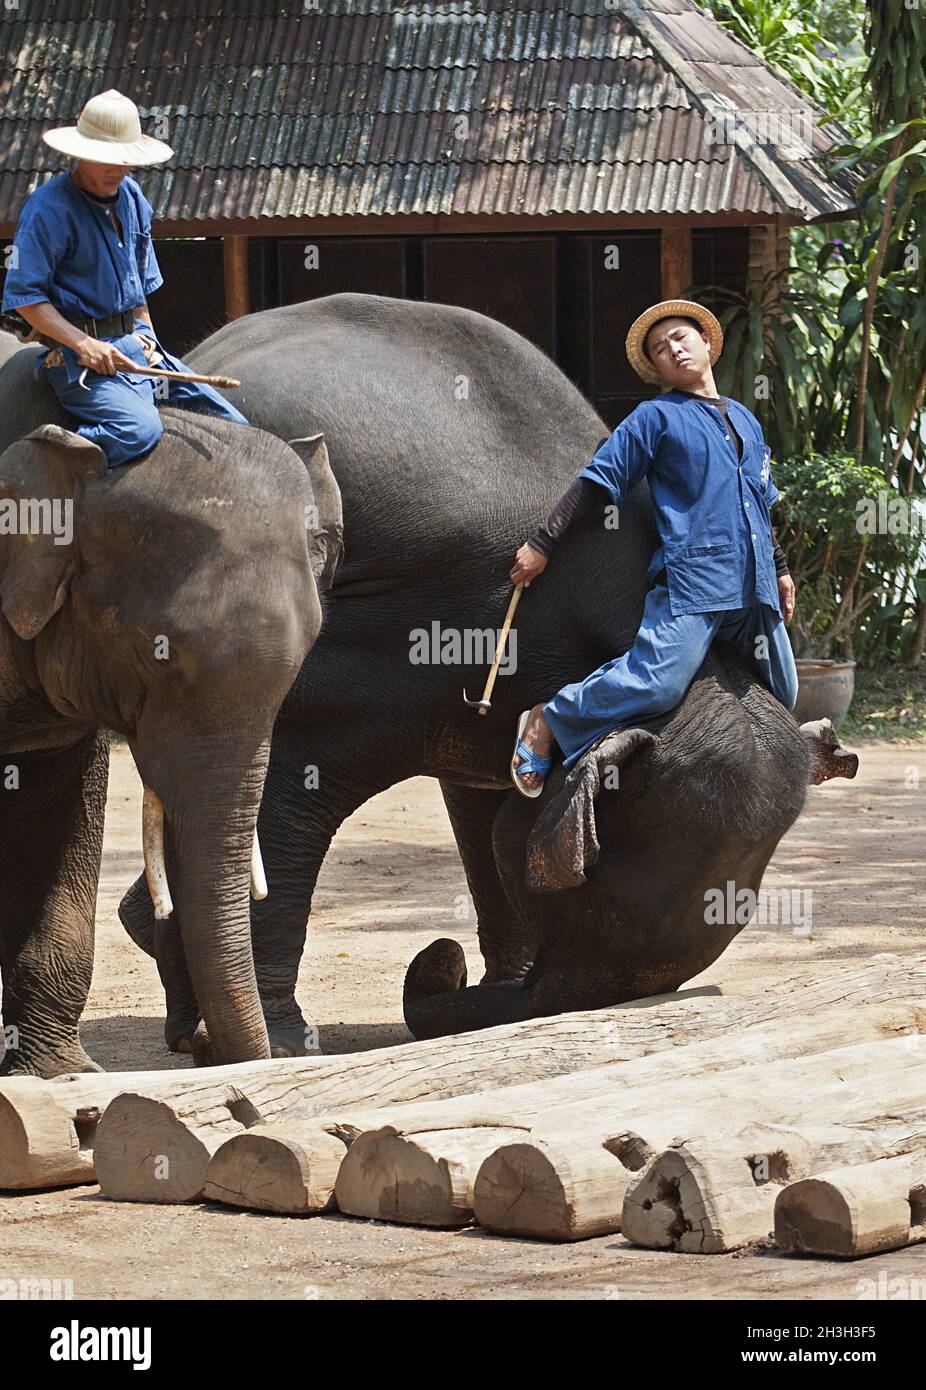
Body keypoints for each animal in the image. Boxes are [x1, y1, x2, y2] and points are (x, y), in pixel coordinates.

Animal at [116, 293, 858, 1050]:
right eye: (591, 903)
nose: (439, 964)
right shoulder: (381, 646)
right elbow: (293, 785)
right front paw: (286, 1044)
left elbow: (485, 807)